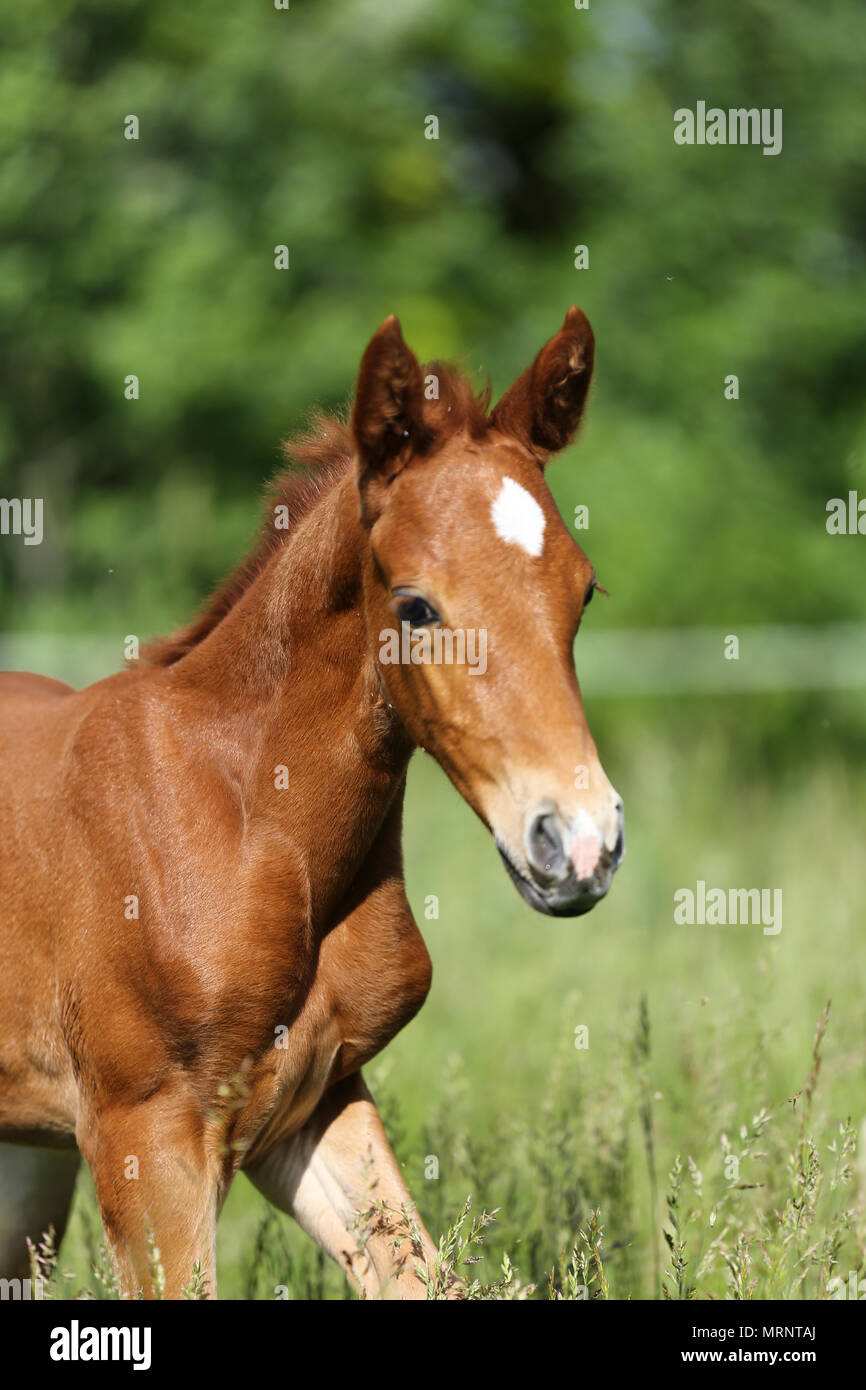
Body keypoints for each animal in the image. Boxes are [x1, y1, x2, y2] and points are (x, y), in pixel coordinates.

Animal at [0, 307, 624, 1299]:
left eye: (585, 591)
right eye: (415, 606)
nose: (582, 841)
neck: (254, 824)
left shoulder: (315, 1101)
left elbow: (419, 1275)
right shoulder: (147, 1133)